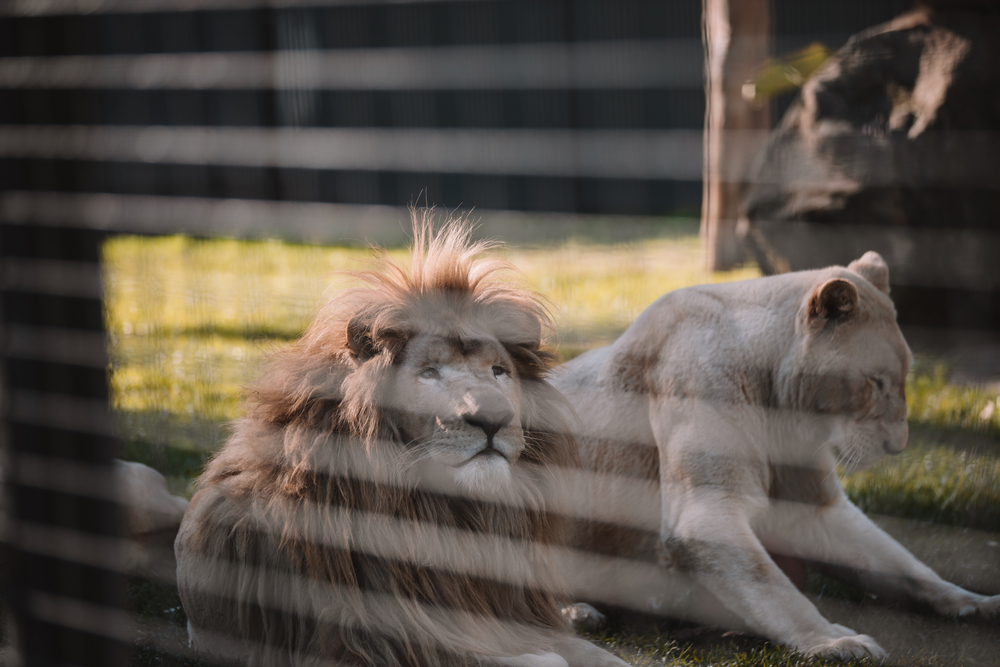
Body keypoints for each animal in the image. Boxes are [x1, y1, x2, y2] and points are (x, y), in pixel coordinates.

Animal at [174, 217, 628, 667]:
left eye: (498, 371)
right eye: (429, 372)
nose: (493, 419)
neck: (454, 512)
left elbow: (594, 654)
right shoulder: (372, 639)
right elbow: (525, 658)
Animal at [552, 251, 1000, 660]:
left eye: (906, 376)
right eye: (875, 382)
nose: (898, 446)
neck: (778, 405)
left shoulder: (815, 506)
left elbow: (899, 564)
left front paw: (976, 602)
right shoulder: (705, 506)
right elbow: (771, 585)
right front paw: (836, 642)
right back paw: (578, 613)